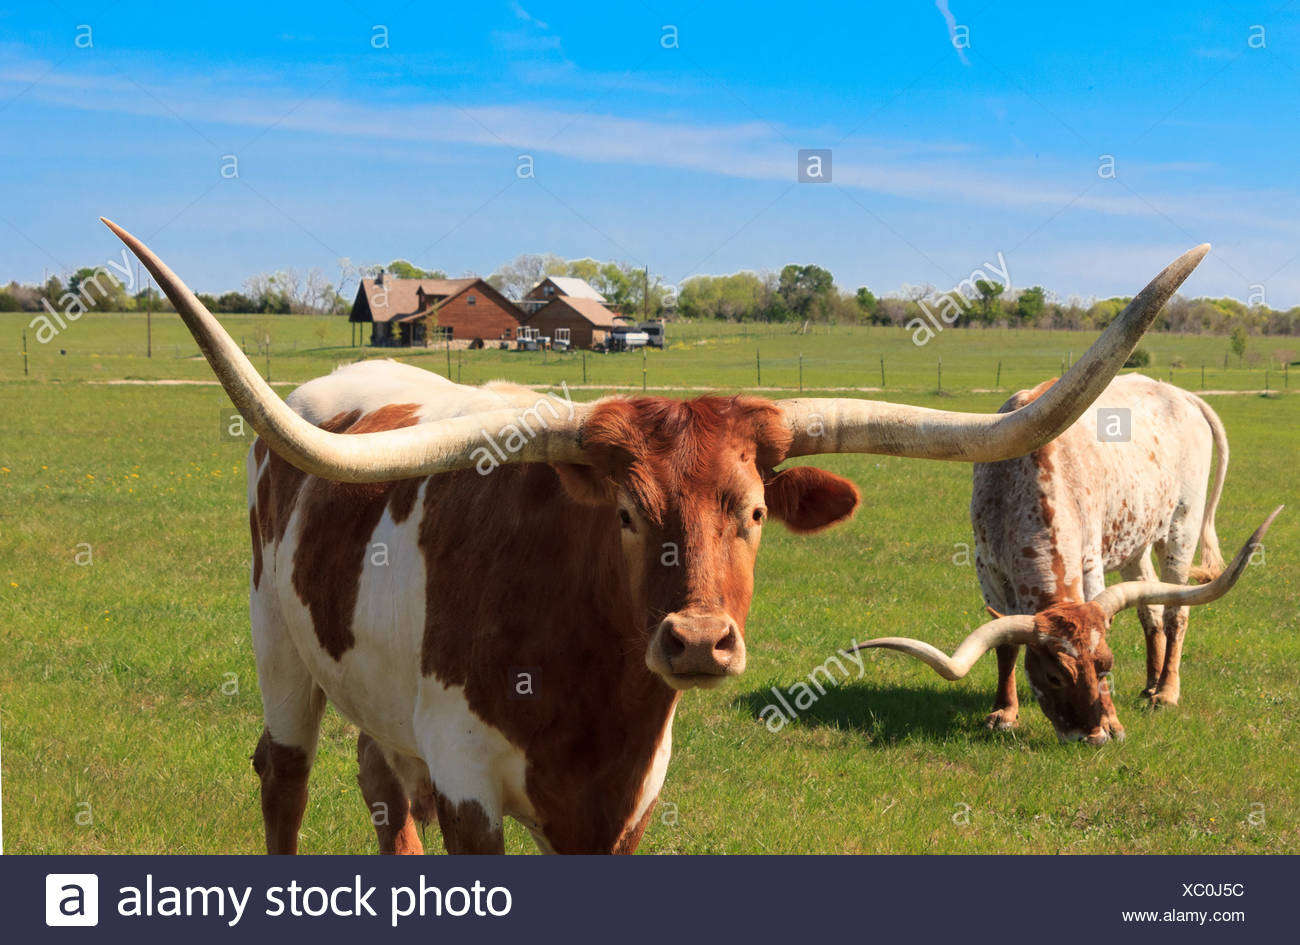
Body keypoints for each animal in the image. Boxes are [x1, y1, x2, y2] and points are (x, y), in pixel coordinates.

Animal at [104, 219, 1207, 852]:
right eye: (627, 513)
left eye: (754, 512)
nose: (697, 641)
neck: (588, 685)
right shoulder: (470, 788)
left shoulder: (621, 805)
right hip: (279, 649)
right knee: (282, 780)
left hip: (375, 697)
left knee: (383, 789)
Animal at [845, 507, 1279, 745]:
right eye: (1054, 677)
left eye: (1106, 666)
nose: (1094, 738)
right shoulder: (989, 572)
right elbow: (1006, 647)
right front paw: (1003, 714)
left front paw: (1115, 723)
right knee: (1151, 613)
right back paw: (1151, 685)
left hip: (1178, 534)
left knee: (1176, 612)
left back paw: (1165, 692)